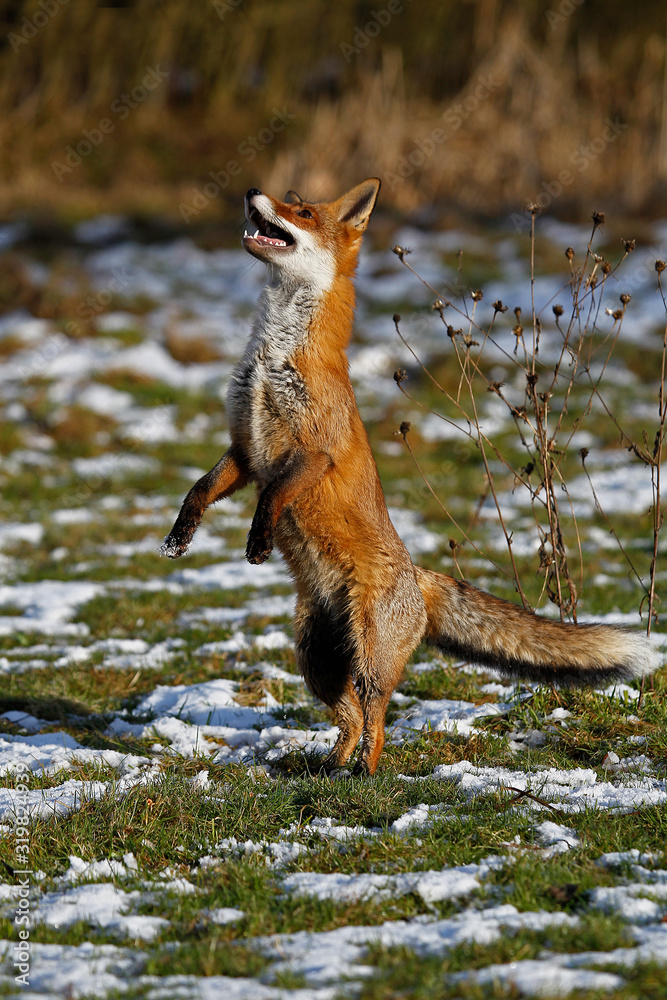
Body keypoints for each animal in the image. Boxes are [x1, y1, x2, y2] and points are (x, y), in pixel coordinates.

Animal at [162, 178, 659, 775]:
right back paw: (332, 769)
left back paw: (363, 776)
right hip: (316, 660)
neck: (271, 357)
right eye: (288, 200)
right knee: (352, 719)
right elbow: (200, 489)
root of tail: (417, 575)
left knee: (377, 722)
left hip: (370, 661)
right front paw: (180, 534)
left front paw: (258, 538)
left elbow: (275, 496)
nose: (253, 189)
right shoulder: (245, 449)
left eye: (301, 211)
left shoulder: (312, 452)